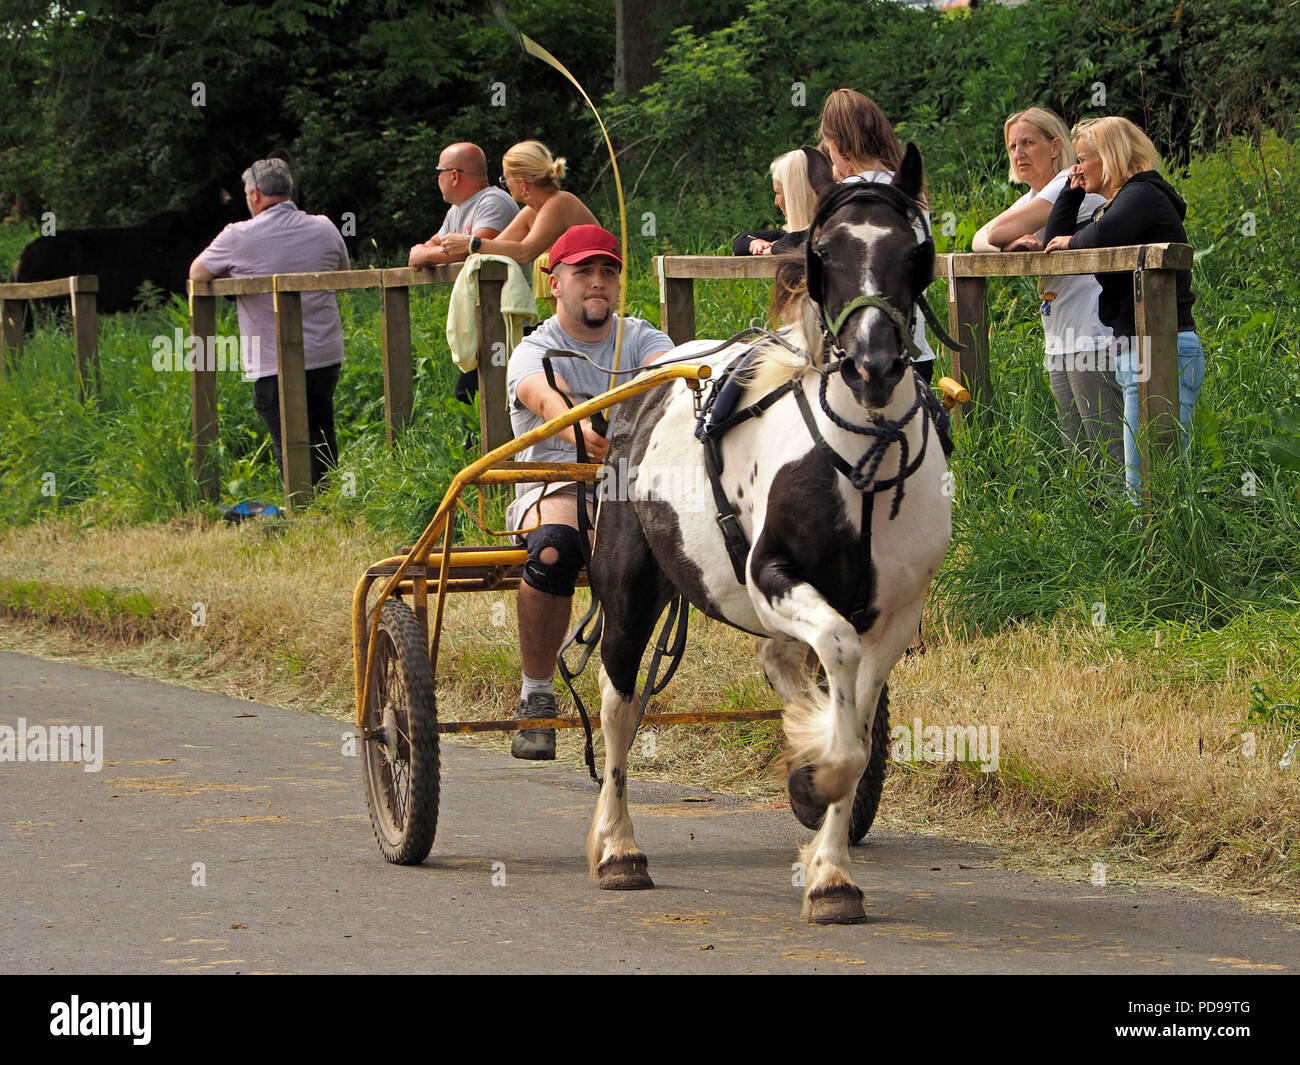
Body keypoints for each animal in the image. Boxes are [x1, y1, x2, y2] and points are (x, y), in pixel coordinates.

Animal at [584, 143, 953, 924]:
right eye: (825, 251)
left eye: (914, 250)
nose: (874, 365)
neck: (861, 462)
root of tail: (652, 375)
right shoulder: (774, 575)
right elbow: (837, 667)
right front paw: (814, 780)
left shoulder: (897, 613)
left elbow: (858, 725)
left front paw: (831, 869)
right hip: (629, 587)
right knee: (619, 705)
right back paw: (619, 847)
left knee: (780, 661)